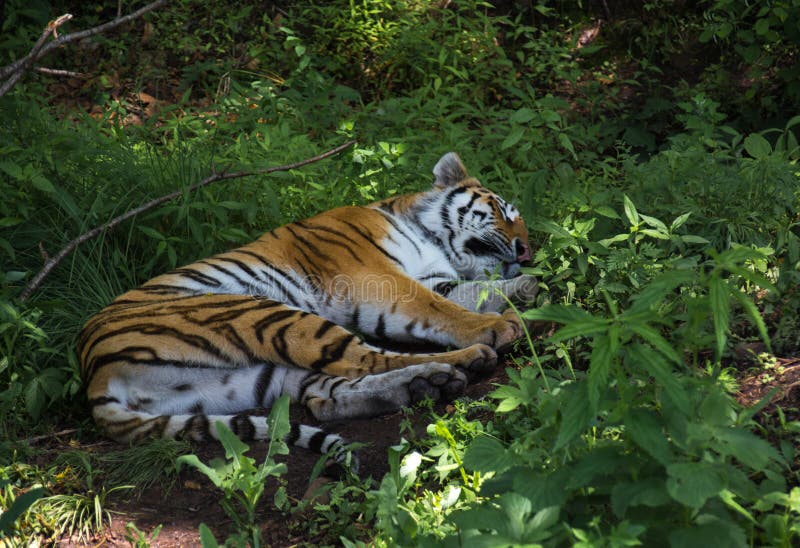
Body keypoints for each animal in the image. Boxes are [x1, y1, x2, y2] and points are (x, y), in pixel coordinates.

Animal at [77, 152, 538, 471]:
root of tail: (94, 375)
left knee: (325, 395)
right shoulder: (378, 277)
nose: (527, 253)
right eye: (502, 212)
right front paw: (498, 324)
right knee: (364, 359)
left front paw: (529, 288)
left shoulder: (433, 278)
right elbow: (442, 309)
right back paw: (463, 362)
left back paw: (426, 384)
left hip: (250, 377)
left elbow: (474, 290)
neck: (433, 238)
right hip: (260, 313)